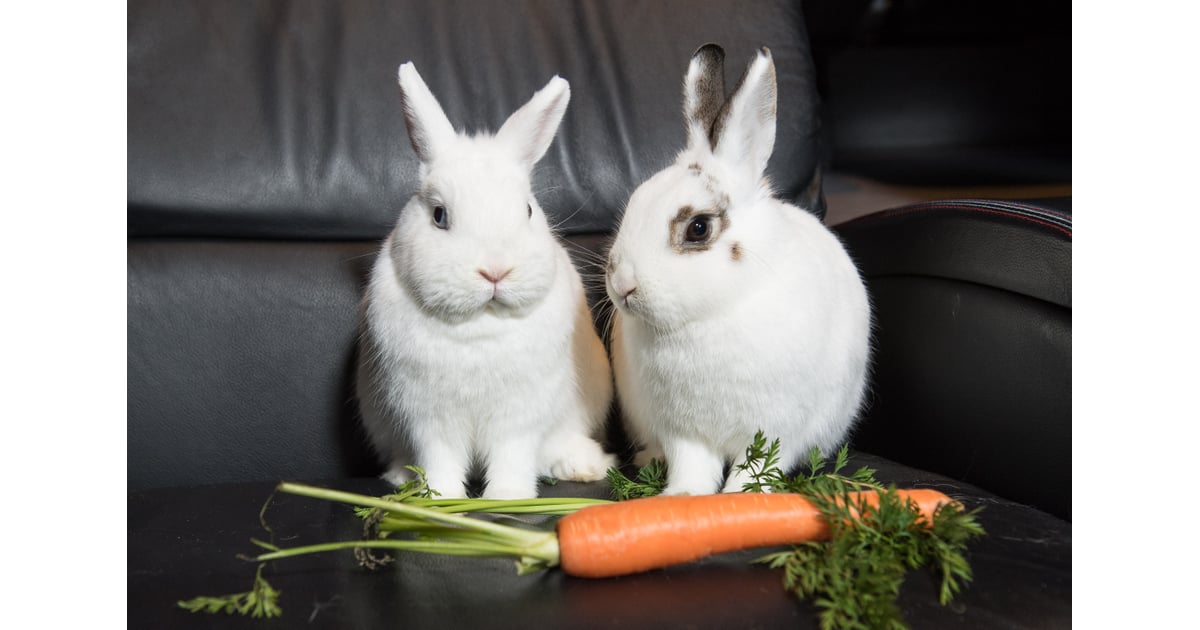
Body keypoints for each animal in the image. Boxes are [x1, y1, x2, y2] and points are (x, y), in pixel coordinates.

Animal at [355, 62, 616, 500]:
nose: (495, 271)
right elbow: (441, 459)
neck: (480, 324)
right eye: (439, 215)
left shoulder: (520, 415)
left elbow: (513, 455)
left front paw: (507, 497)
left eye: (527, 210)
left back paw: (583, 466)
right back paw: (403, 478)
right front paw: (441, 498)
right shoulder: (428, 417)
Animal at [605, 44, 871, 496]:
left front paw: (741, 498)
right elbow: (690, 464)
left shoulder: (775, 426)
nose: (622, 285)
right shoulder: (683, 431)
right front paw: (684, 496)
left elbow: (756, 466)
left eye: (698, 228)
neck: (709, 317)